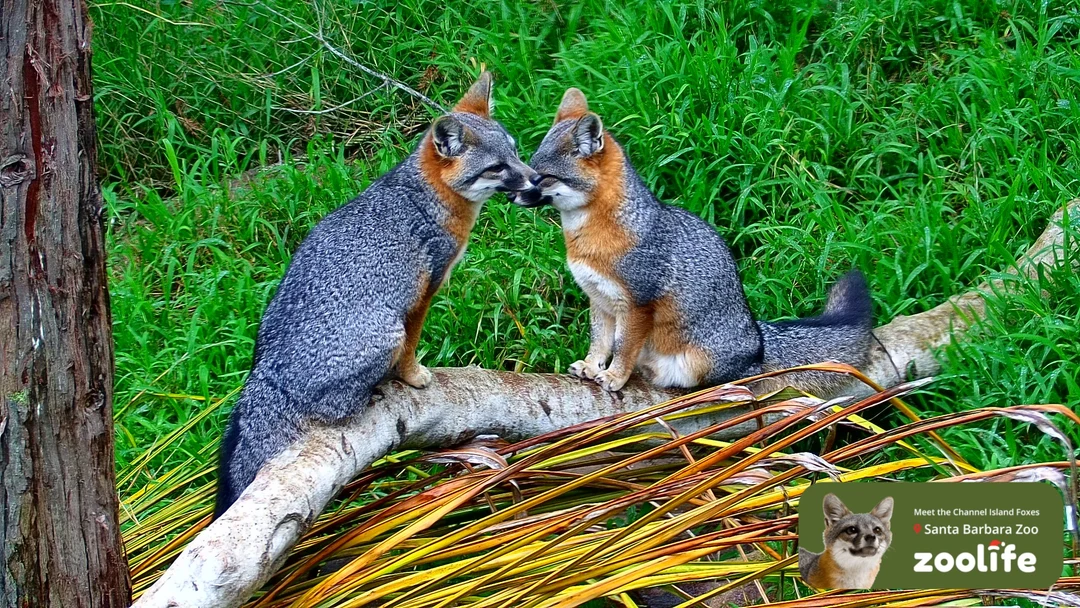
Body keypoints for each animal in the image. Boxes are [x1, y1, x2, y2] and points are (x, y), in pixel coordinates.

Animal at [215, 72, 541, 517]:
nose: (536, 179)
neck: (425, 197)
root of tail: (267, 375)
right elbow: (413, 346)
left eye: (515, 152)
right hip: (385, 332)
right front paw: (415, 377)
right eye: (497, 167)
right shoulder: (422, 292)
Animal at [510, 88, 873, 395]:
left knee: (744, 379)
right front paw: (591, 366)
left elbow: (624, 347)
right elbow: (600, 342)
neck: (591, 239)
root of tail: (759, 342)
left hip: (702, 361)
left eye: (542, 178)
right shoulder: (599, 299)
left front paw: (614, 376)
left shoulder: (638, 304)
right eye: (528, 170)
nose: (511, 195)